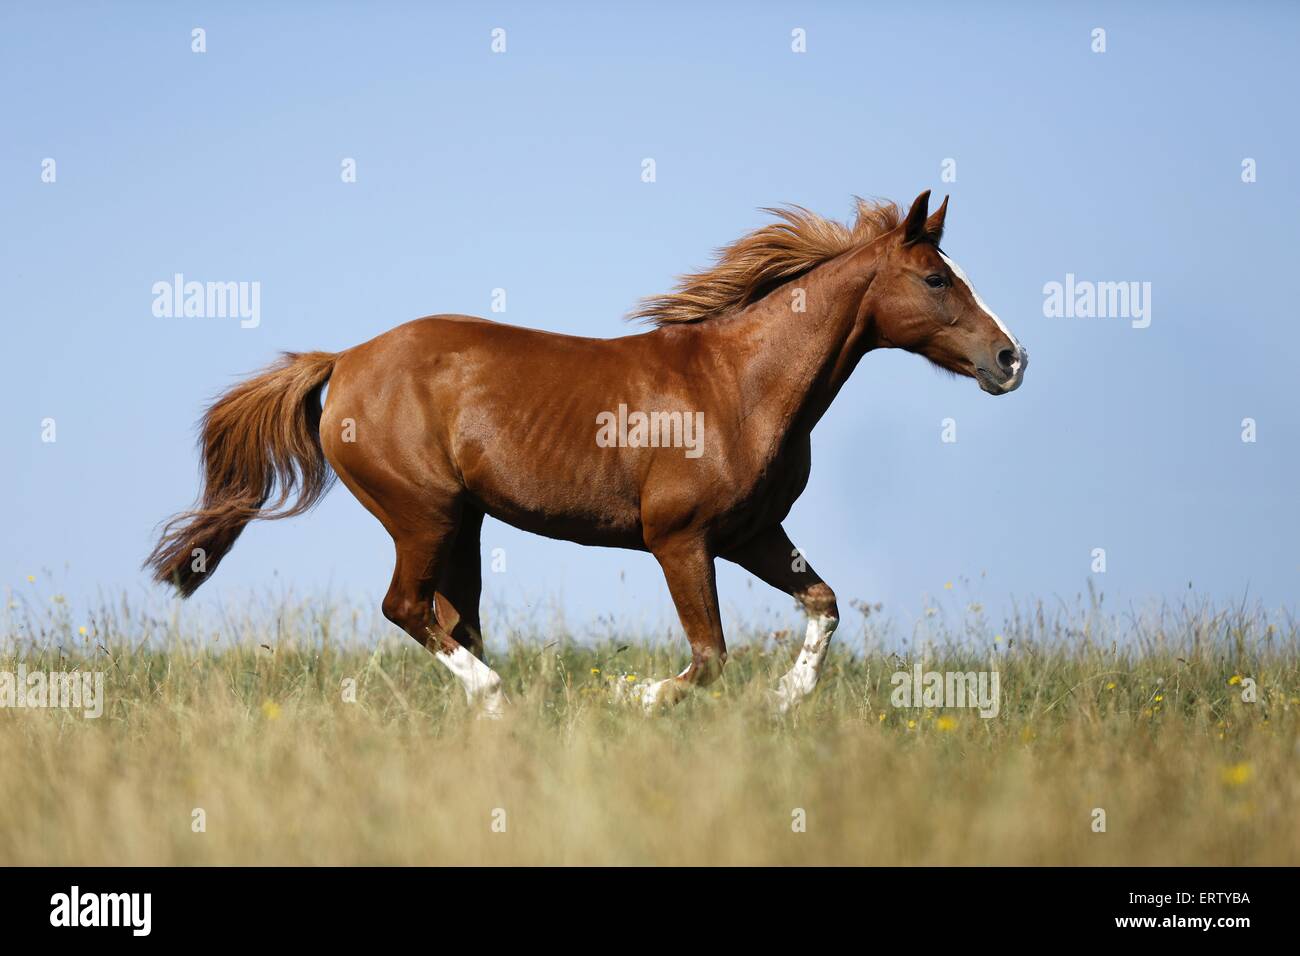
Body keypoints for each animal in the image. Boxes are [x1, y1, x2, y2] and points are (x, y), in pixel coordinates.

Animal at [146, 189, 1026, 717]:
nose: (1012, 359)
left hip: (464, 524)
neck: (741, 385)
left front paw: (785, 699)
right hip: (424, 513)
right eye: (936, 278)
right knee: (409, 610)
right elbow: (709, 656)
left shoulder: (751, 535)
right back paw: (499, 700)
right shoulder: (680, 539)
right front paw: (634, 697)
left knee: (452, 619)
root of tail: (344, 359)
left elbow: (825, 604)